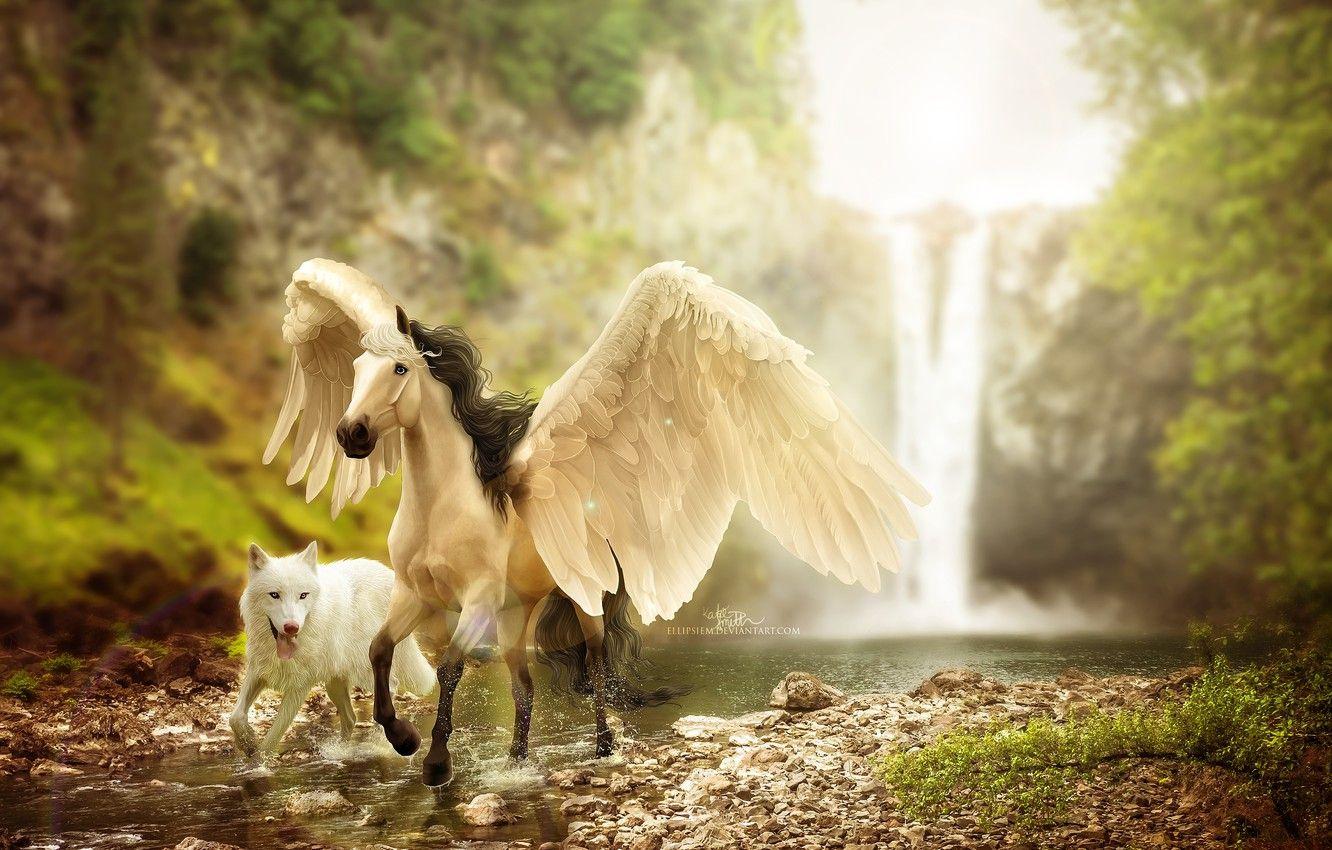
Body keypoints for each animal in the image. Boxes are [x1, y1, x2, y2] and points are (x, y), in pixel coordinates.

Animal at [229, 541, 436, 755]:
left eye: (303, 595)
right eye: (274, 595)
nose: (291, 627)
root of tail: (391, 575)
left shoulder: (299, 687)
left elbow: (272, 738)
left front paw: (257, 756)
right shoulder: (257, 671)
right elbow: (235, 717)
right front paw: (247, 743)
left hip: (364, 669)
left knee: (391, 686)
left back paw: (380, 740)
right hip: (334, 683)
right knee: (351, 718)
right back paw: (340, 751)